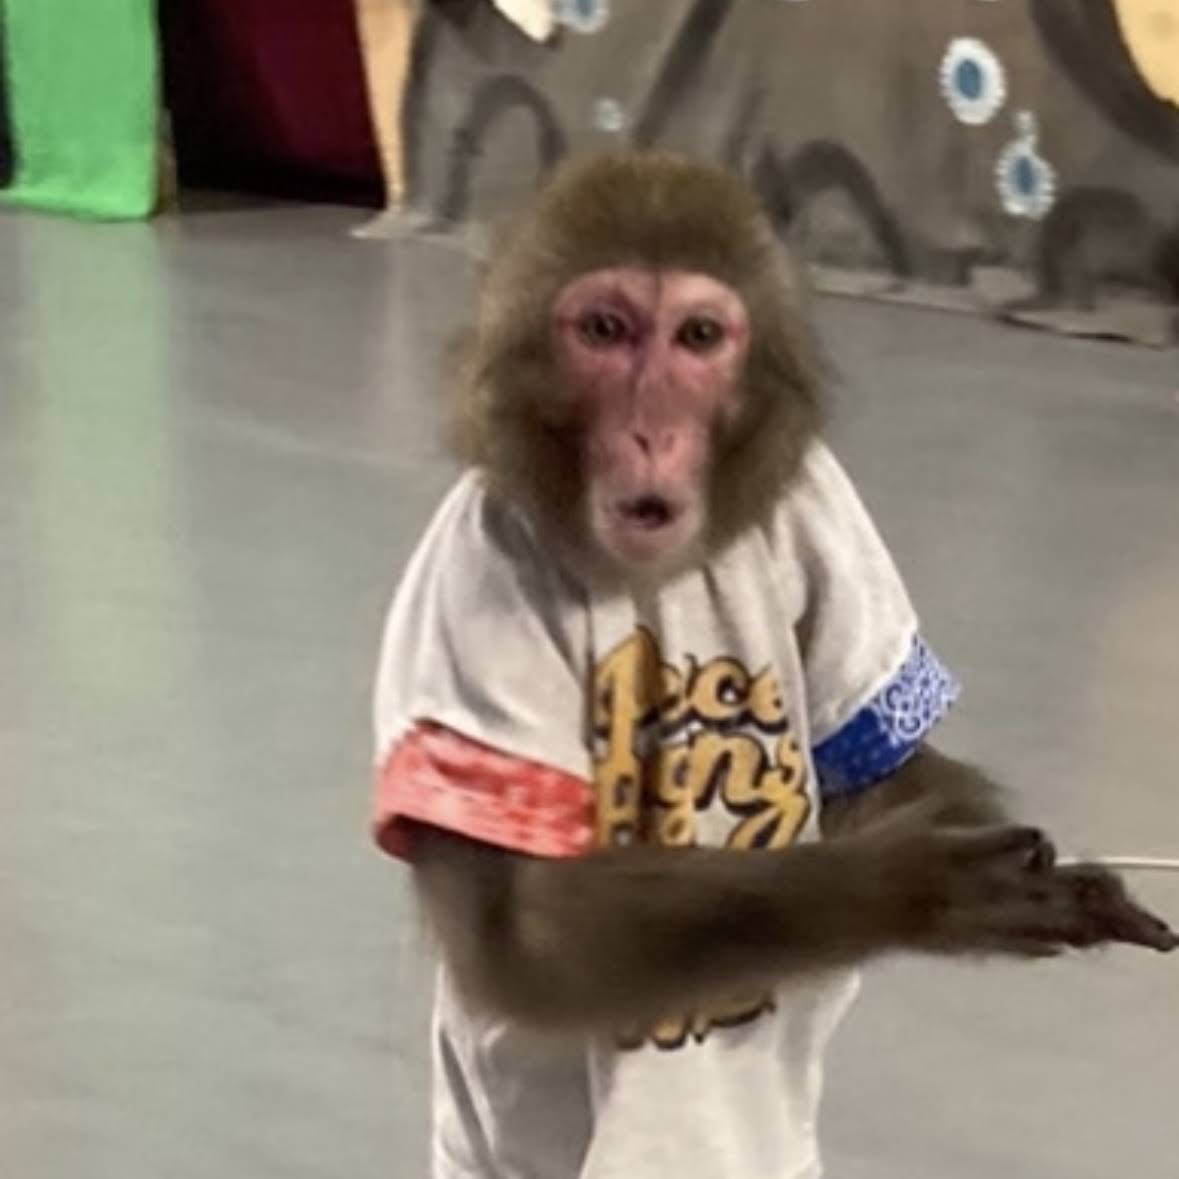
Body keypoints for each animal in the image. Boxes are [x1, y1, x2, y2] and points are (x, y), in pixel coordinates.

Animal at [371, 151, 1176, 1179]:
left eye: (697, 337)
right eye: (604, 331)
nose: (650, 429)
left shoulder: (825, 505)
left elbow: (881, 767)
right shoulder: (466, 598)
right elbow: (532, 926)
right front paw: (913, 888)